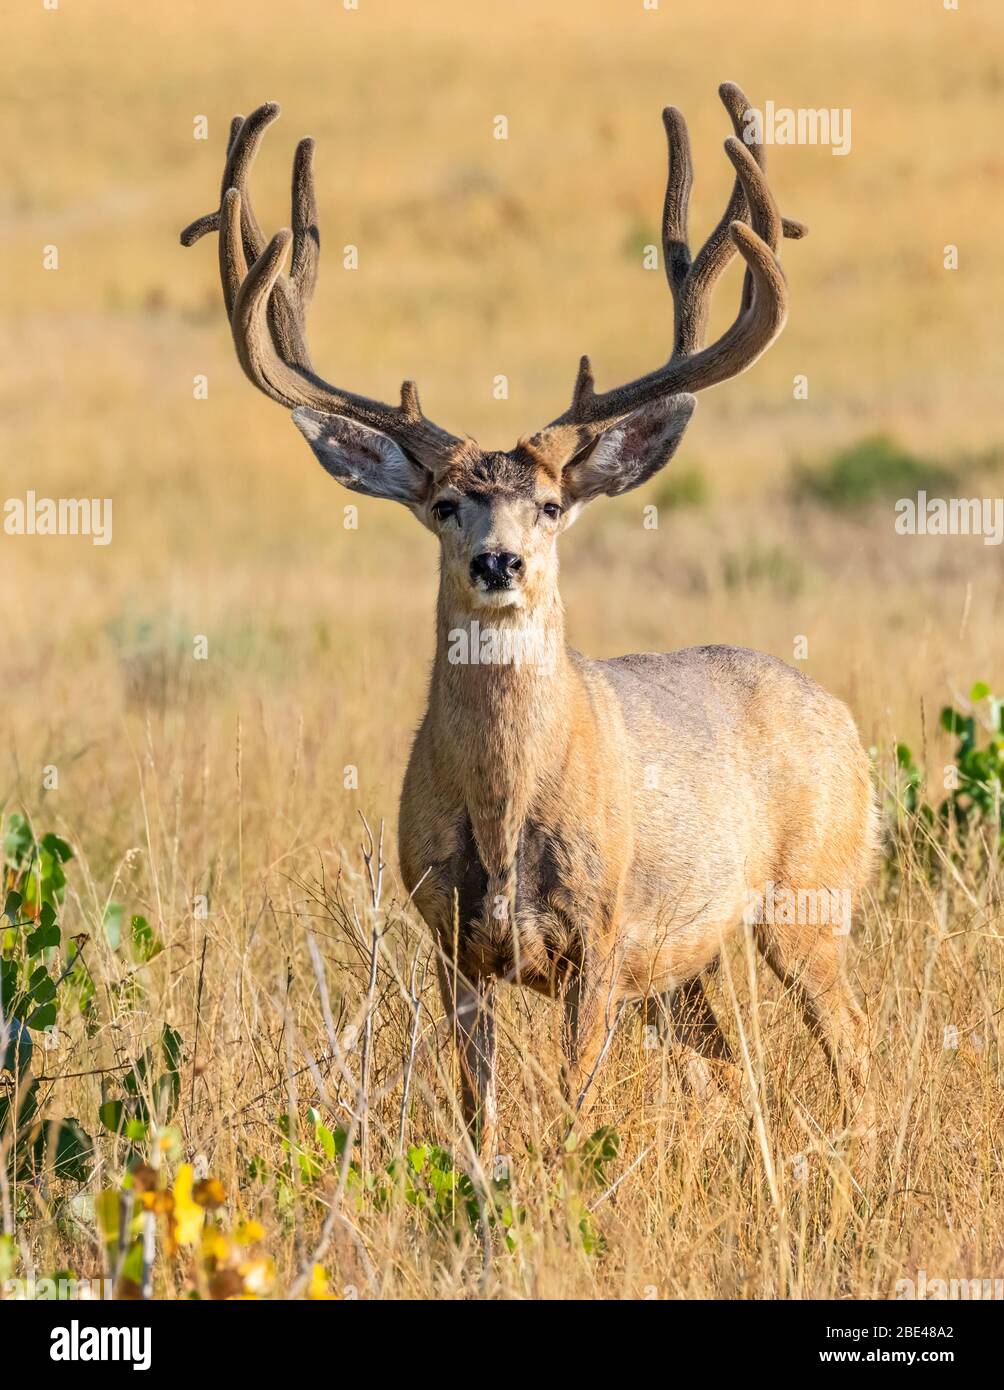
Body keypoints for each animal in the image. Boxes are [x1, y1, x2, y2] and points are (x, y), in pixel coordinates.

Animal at [182, 83, 876, 1166]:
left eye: (548, 506)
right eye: (442, 504)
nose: (497, 561)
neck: (509, 808)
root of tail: (844, 720)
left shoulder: (601, 937)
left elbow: (571, 1109)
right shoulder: (450, 940)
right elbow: (481, 1112)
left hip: (810, 896)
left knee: (856, 1047)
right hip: (689, 966)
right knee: (730, 1070)